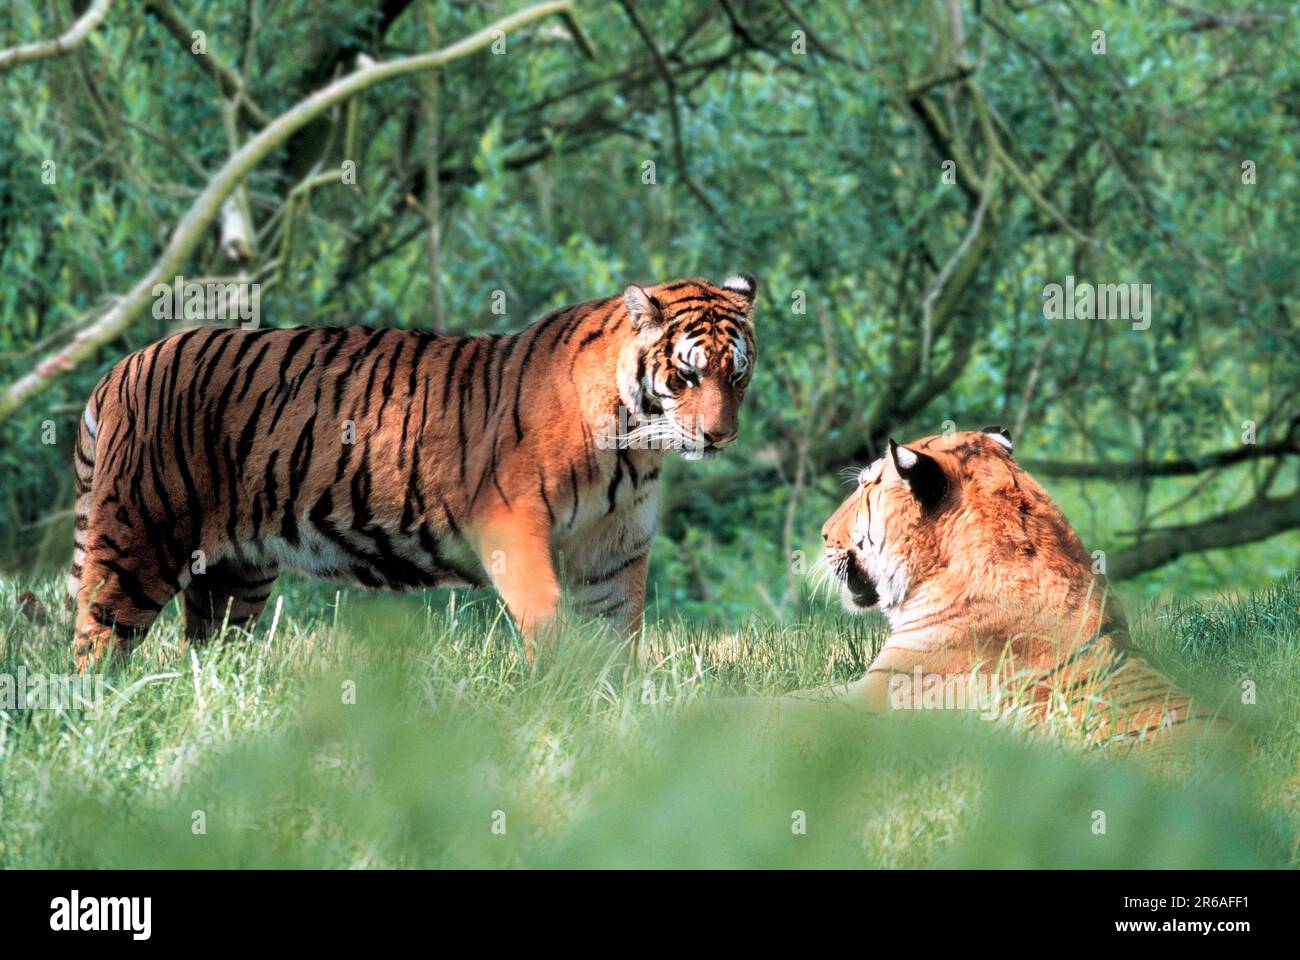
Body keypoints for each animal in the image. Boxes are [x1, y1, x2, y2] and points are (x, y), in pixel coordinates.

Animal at [67, 274, 758, 670]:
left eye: (738, 374)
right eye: (687, 374)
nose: (720, 436)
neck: (633, 448)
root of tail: (122, 367)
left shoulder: (615, 549)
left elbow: (619, 631)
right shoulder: (511, 524)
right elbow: (548, 615)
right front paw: (560, 687)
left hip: (237, 572)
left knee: (208, 649)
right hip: (139, 536)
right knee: (95, 638)